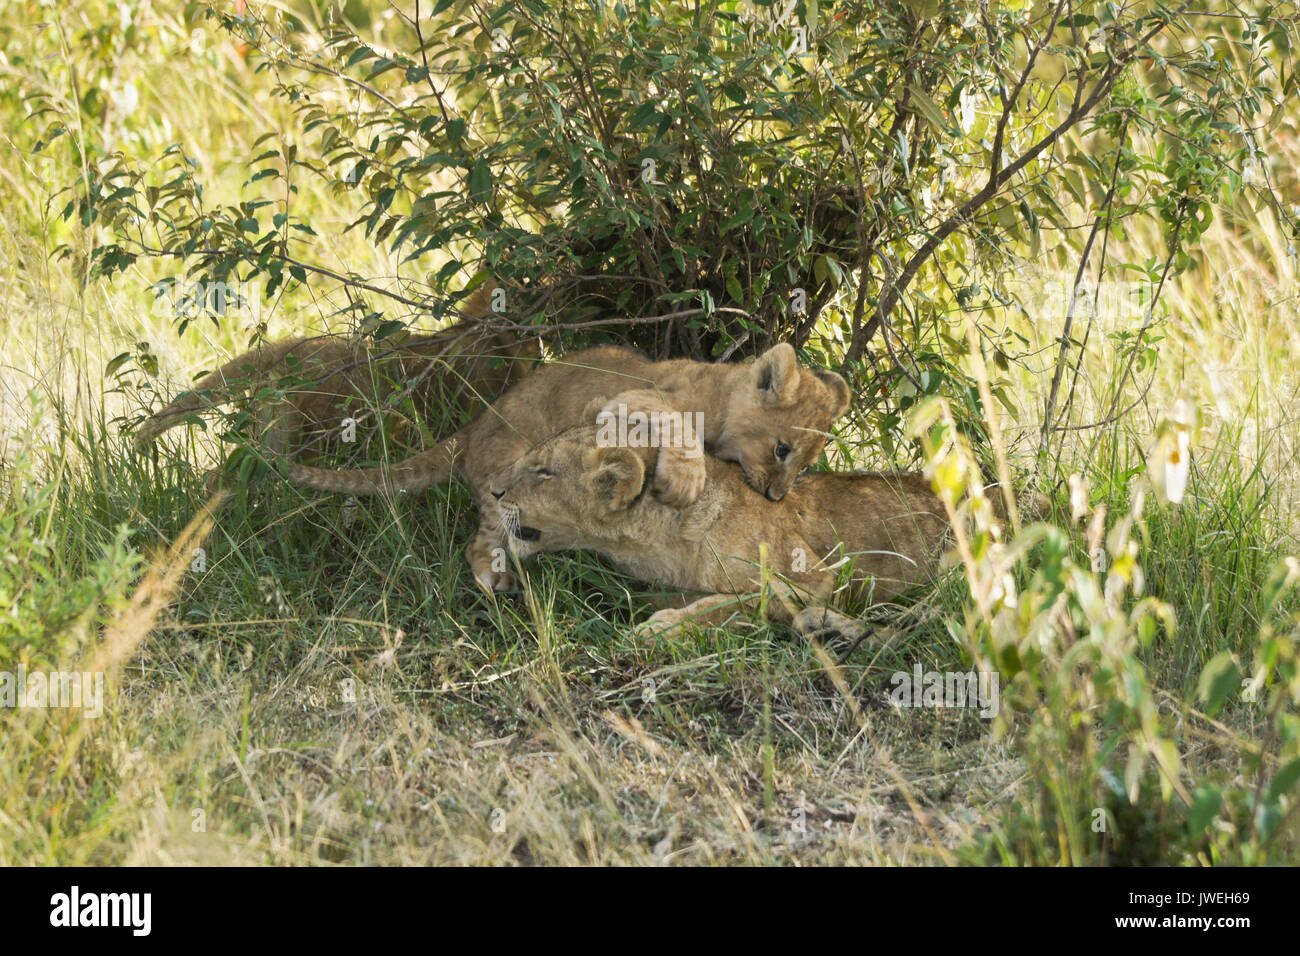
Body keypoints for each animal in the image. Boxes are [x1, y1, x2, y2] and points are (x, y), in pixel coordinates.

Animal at [279, 343, 853, 591]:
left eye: (805, 467)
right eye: (782, 449)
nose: (777, 496)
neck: (721, 394)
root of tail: (471, 429)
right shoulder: (625, 399)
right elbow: (673, 422)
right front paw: (684, 477)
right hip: (506, 473)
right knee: (486, 536)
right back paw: (496, 577)